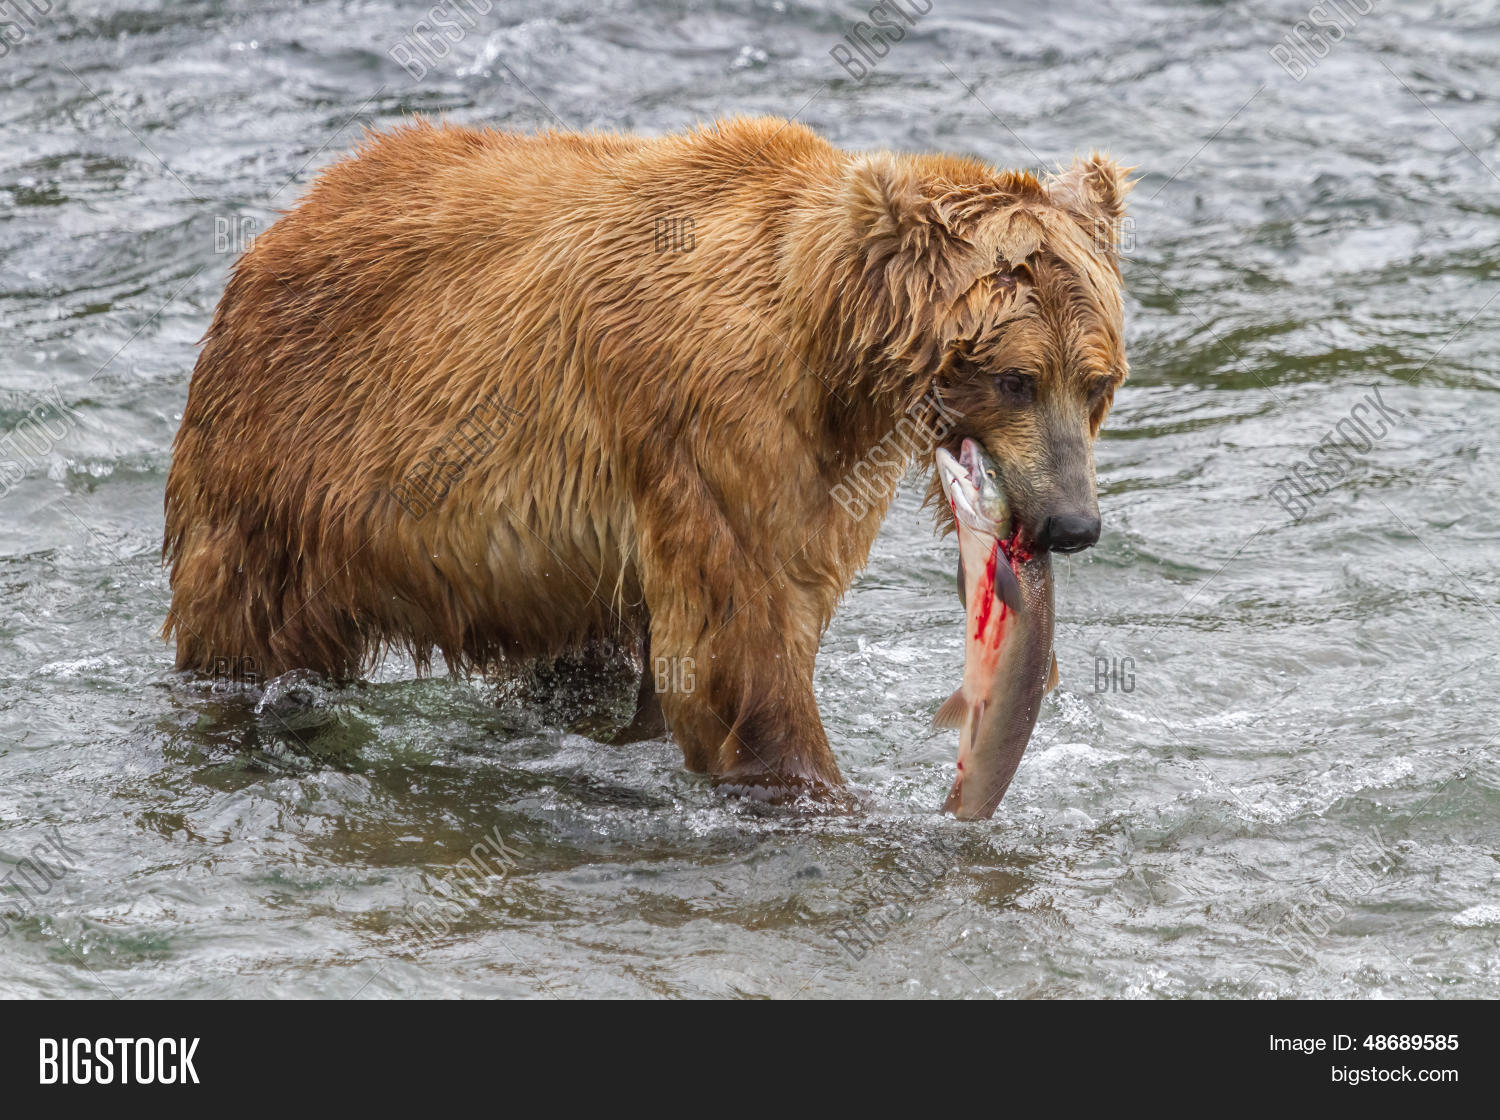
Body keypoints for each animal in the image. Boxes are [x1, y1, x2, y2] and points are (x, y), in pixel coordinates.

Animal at [162, 117, 1130, 801]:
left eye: (1097, 383)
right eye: (1015, 377)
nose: (1072, 522)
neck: (830, 349)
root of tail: (284, 224)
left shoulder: (828, 471)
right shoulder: (719, 426)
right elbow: (741, 652)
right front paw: (820, 790)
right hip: (281, 472)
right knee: (239, 632)